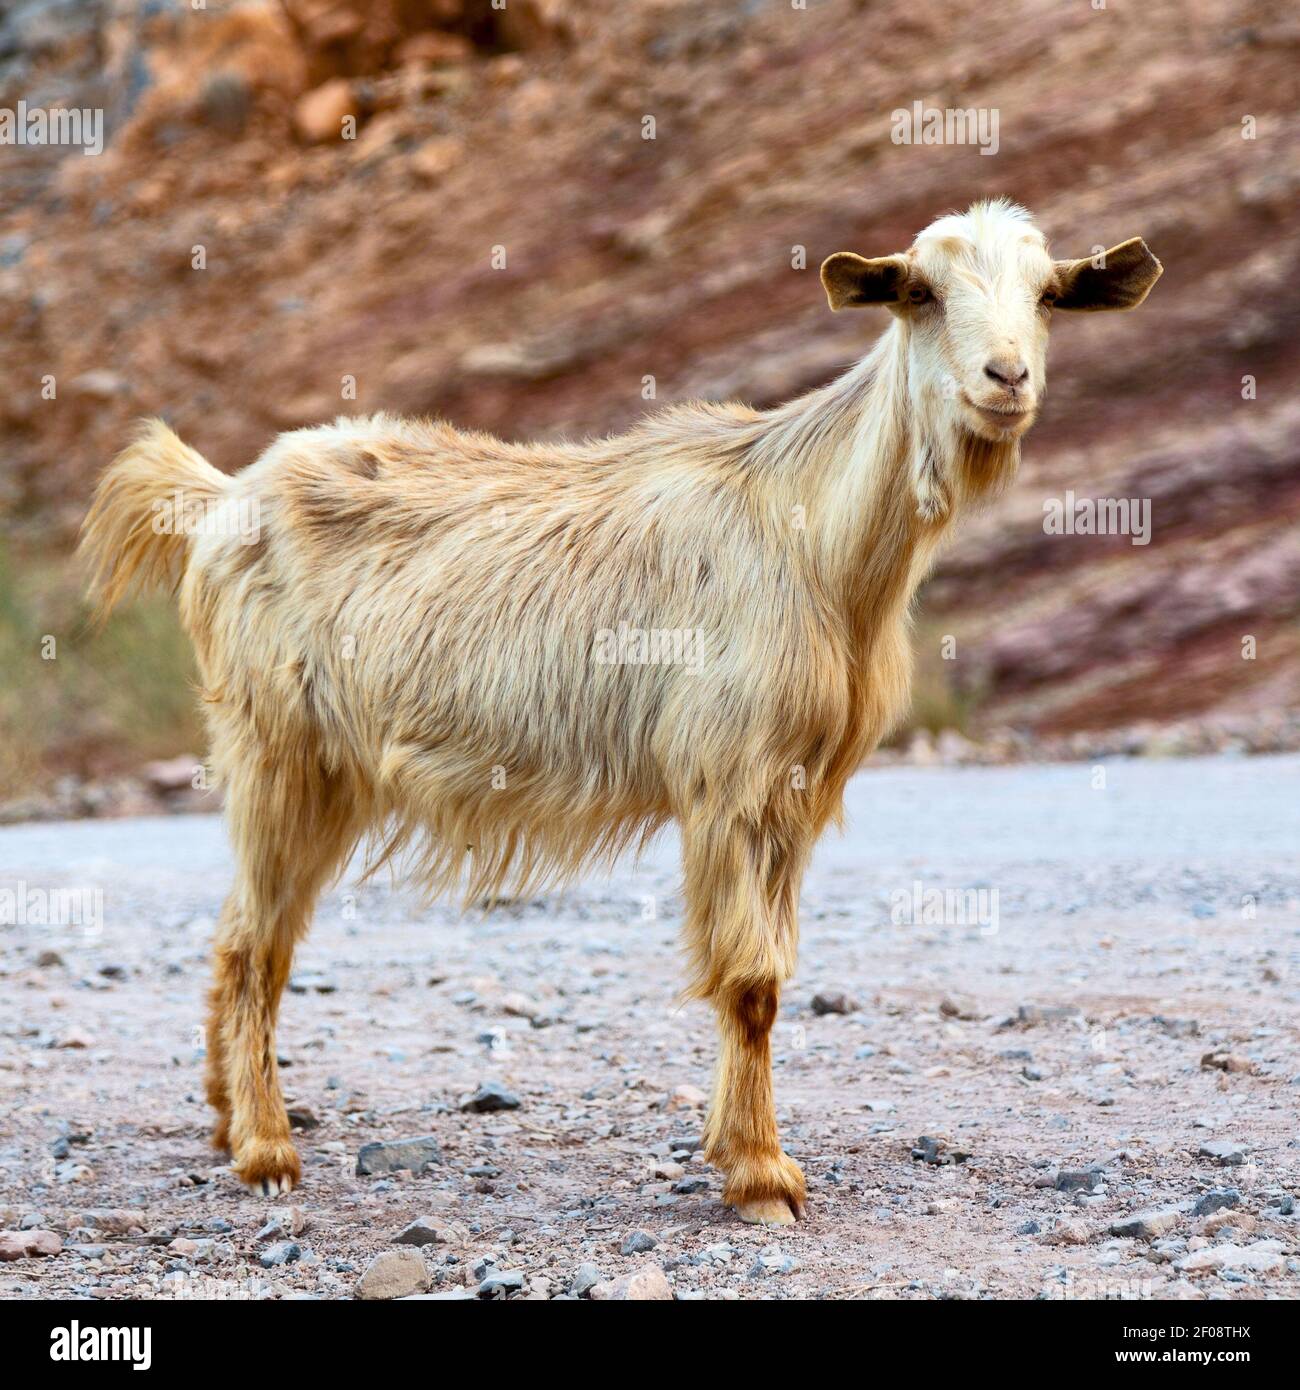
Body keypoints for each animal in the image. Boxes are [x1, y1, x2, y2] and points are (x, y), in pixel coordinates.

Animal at [80, 200, 1161, 1222]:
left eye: (1047, 295)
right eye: (921, 293)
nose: (1005, 377)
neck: (815, 539)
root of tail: (218, 497)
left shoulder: (797, 792)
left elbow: (772, 974)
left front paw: (737, 1150)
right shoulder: (729, 777)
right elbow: (751, 981)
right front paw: (761, 1176)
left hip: (322, 771)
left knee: (241, 934)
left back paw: (224, 1119)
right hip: (277, 748)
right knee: (256, 943)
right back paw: (266, 1152)